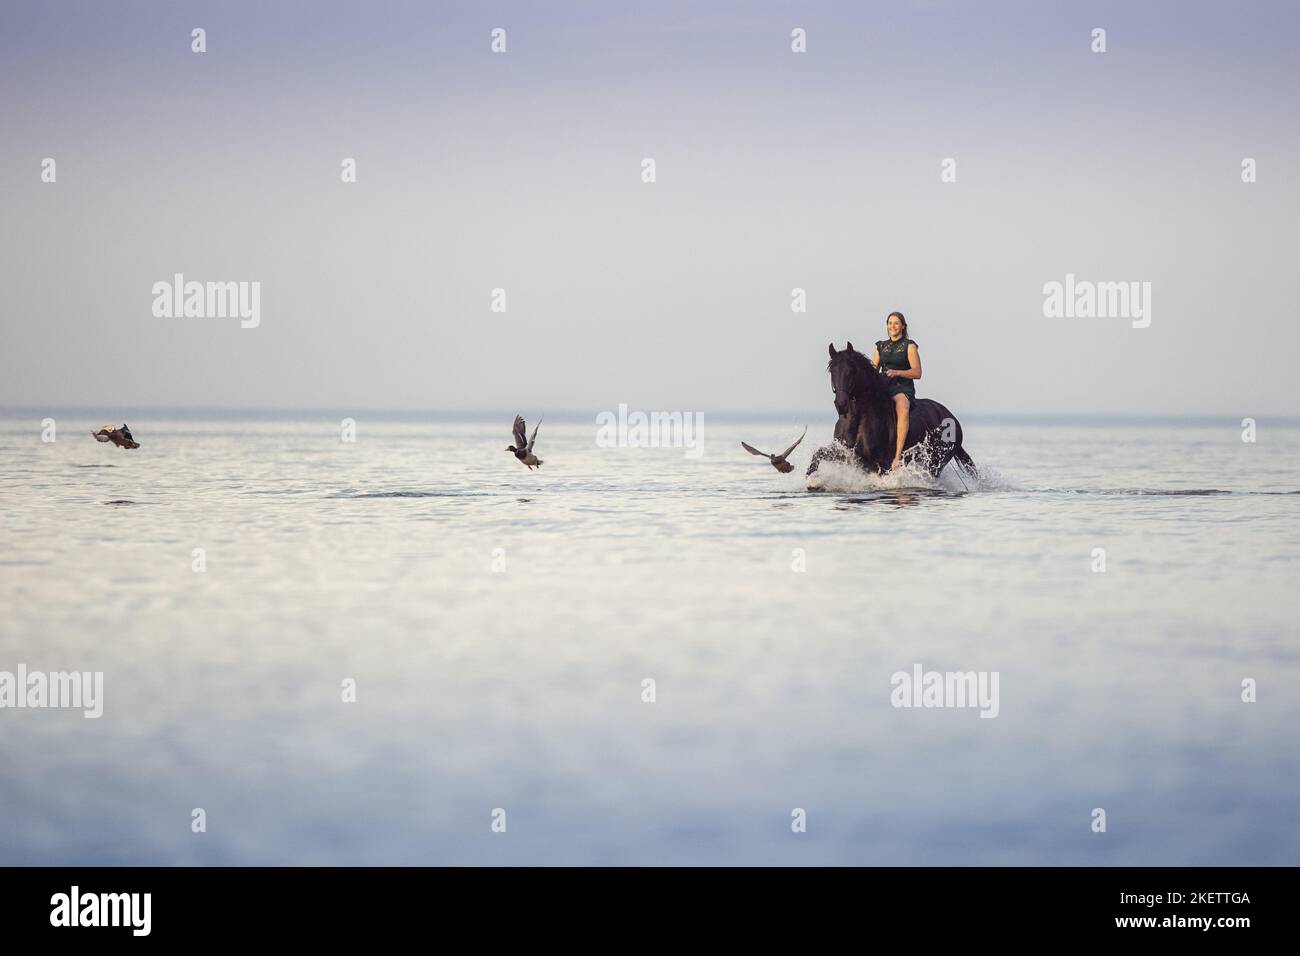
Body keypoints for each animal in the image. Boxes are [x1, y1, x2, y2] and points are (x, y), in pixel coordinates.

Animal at [807, 342, 977, 481]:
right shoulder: (847, 454)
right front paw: (810, 480)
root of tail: (951, 417)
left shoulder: (876, 463)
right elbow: (818, 454)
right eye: (832, 371)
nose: (841, 405)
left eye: (851, 370)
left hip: (935, 463)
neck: (861, 417)